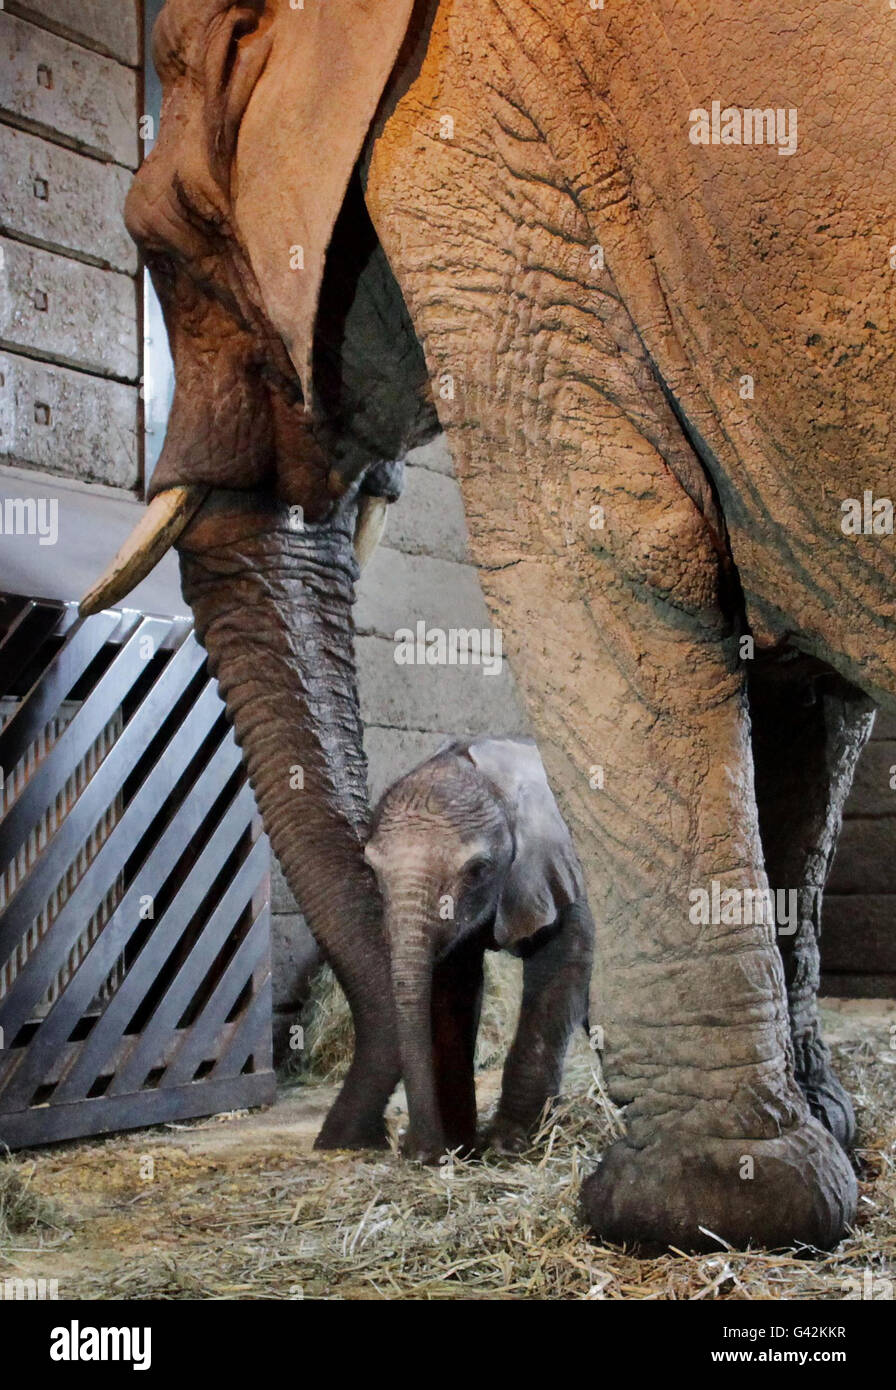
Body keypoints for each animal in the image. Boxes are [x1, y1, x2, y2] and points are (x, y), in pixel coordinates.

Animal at [364, 736, 594, 1162]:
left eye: (478, 870)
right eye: (371, 871)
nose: (416, 1151)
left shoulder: (567, 873)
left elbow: (560, 967)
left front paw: (505, 1146)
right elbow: (452, 989)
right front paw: (456, 1147)